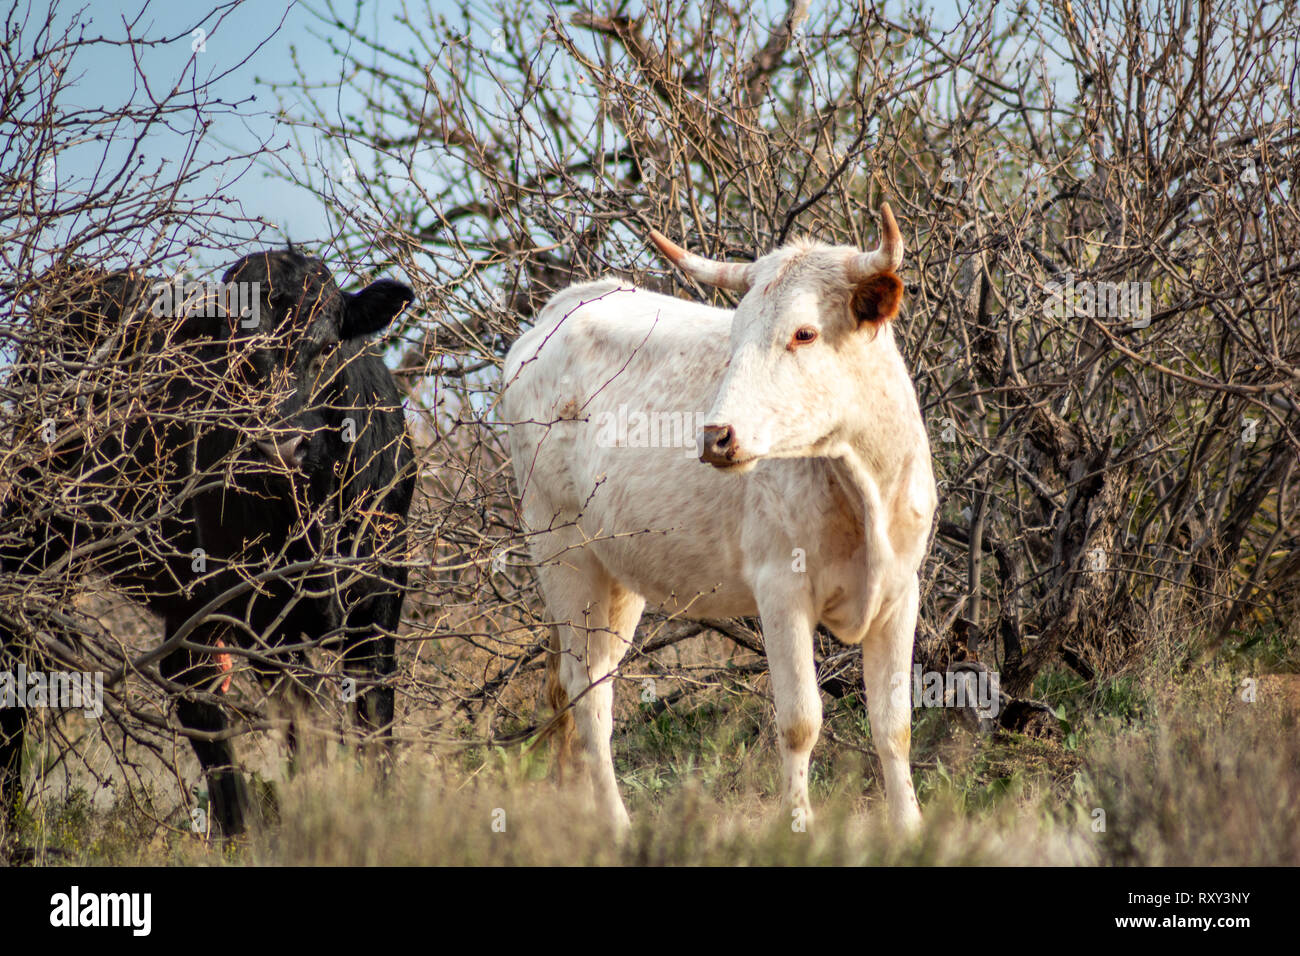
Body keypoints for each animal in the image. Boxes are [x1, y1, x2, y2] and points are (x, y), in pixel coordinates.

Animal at [0, 249, 415, 842]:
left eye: (326, 347)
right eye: (230, 355)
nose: (278, 444)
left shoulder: (381, 594)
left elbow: (374, 719)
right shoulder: (262, 614)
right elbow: (308, 728)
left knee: (190, 690)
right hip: (38, 531)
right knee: (19, 656)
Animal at [501, 205, 935, 834]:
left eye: (804, 333)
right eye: (734, 337)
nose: (715, 436)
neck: (862, 487)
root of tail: (560, 309)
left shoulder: (901, 591)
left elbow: (893, 724)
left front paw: (909, 829)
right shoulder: (780, 588)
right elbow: (800, 721)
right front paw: (798, 828)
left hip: (619, 577)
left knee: (593, 684)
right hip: (560, 550)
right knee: (587, 692)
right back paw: (617, 826)